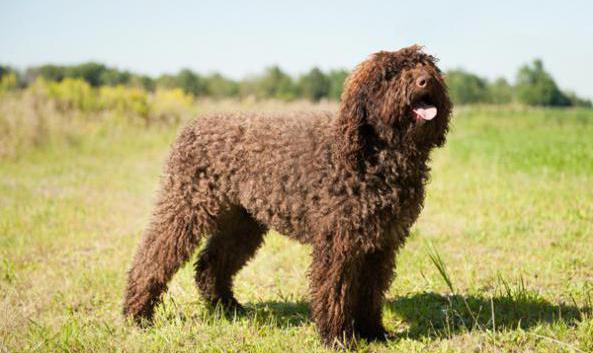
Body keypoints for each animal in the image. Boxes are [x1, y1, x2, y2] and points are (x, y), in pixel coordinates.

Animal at [122, 43, 450, 344]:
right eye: (389, 74)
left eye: (425, 65)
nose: (424, 81)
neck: (375, 154)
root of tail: (193, 126)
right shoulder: (339, 244)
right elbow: (336, 290)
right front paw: (337, 337)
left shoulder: (381, 244)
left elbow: (370, 292)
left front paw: (373, 332)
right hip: (184, 209)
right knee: (151, 259)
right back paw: (136, 315)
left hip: (242, 223)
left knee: (210, 265)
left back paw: (228, 308)